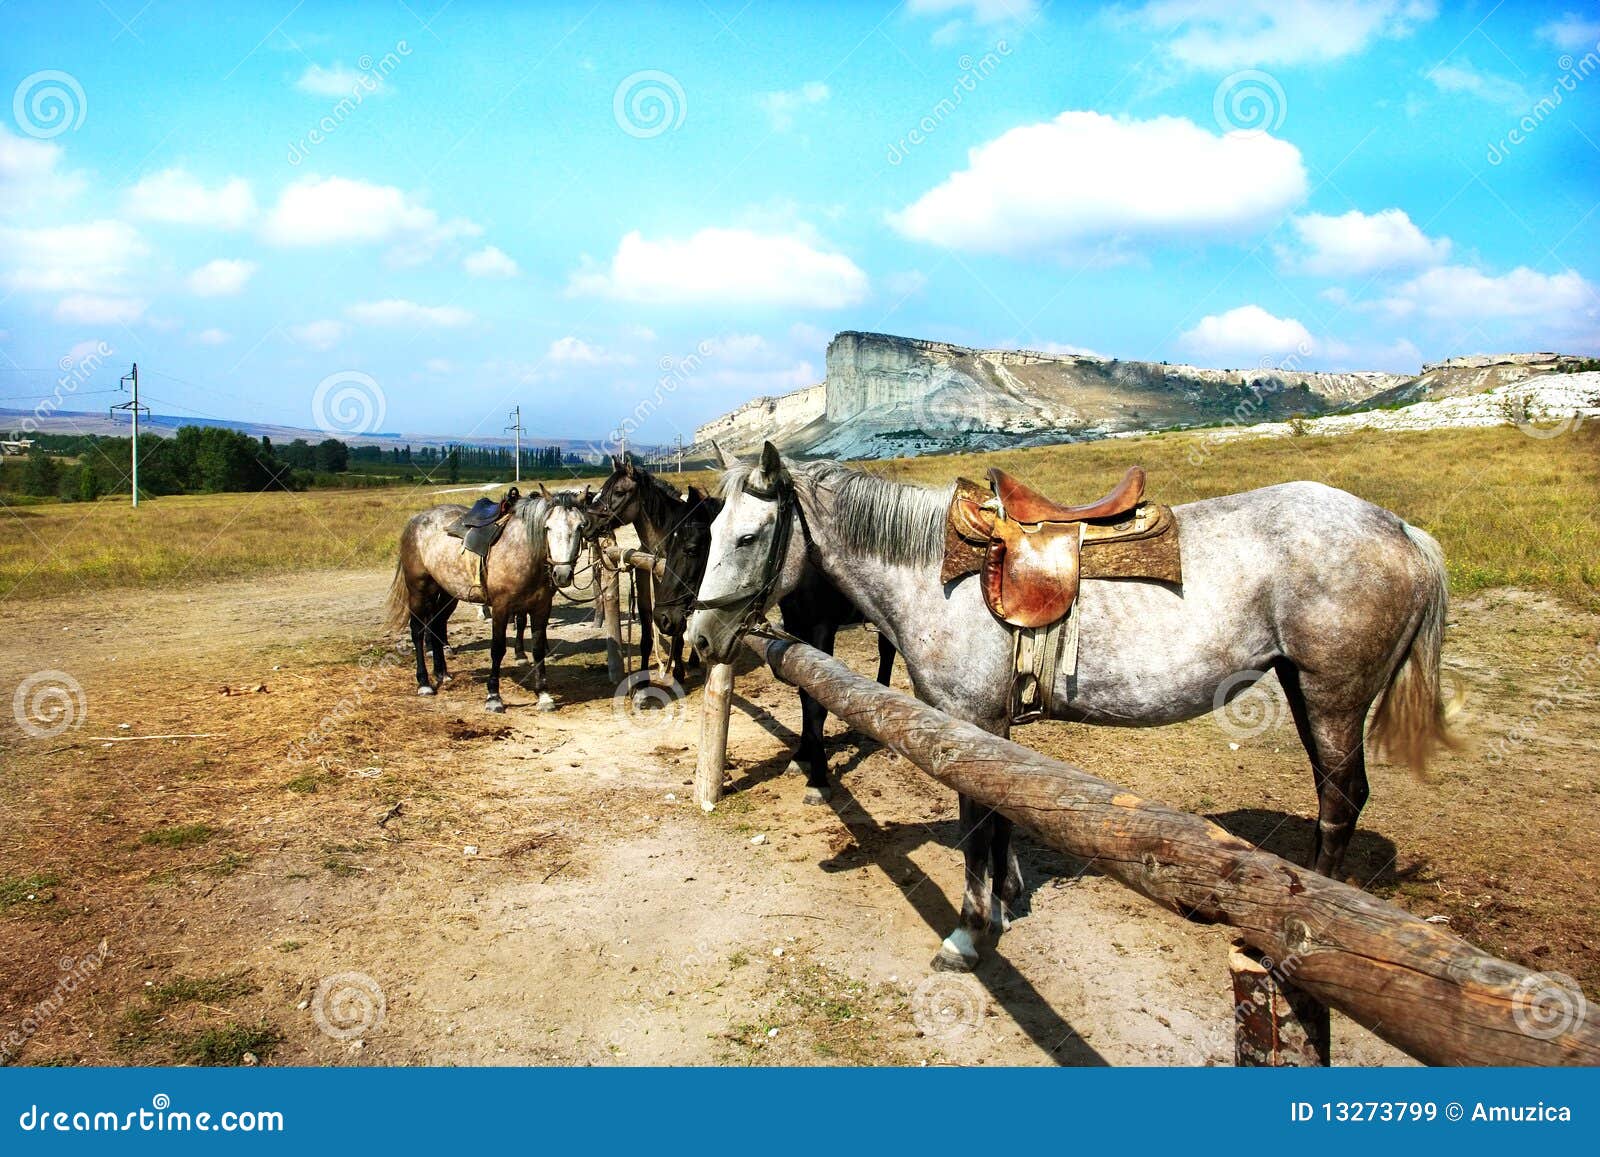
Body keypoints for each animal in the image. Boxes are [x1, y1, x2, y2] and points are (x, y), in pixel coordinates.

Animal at [385, 486, 590, 713]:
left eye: (581, 526)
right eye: (547, 527)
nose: (562, 574)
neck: (522, 551)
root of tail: (415, 520)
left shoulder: (542, 607)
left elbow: (538, 650)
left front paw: (544, 695)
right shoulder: (501, 607)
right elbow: (497, 649)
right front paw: (493, 696)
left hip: (447, 592)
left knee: (437, 625)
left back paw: (442, 674)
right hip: (419, 590)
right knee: (418, 631)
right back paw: (424, 683)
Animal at [688, 442, 1456, 971]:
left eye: (748, 537)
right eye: (711, 532)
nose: (697, 637)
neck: (936, 573)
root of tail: (1402, 530)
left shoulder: (969, 725)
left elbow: (977, 826)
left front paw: (969, 932)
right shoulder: (992, 730)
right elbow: (999, 819)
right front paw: (1006, 898)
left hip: (1331, 697)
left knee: (1341, 803)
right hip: (1302, 688)